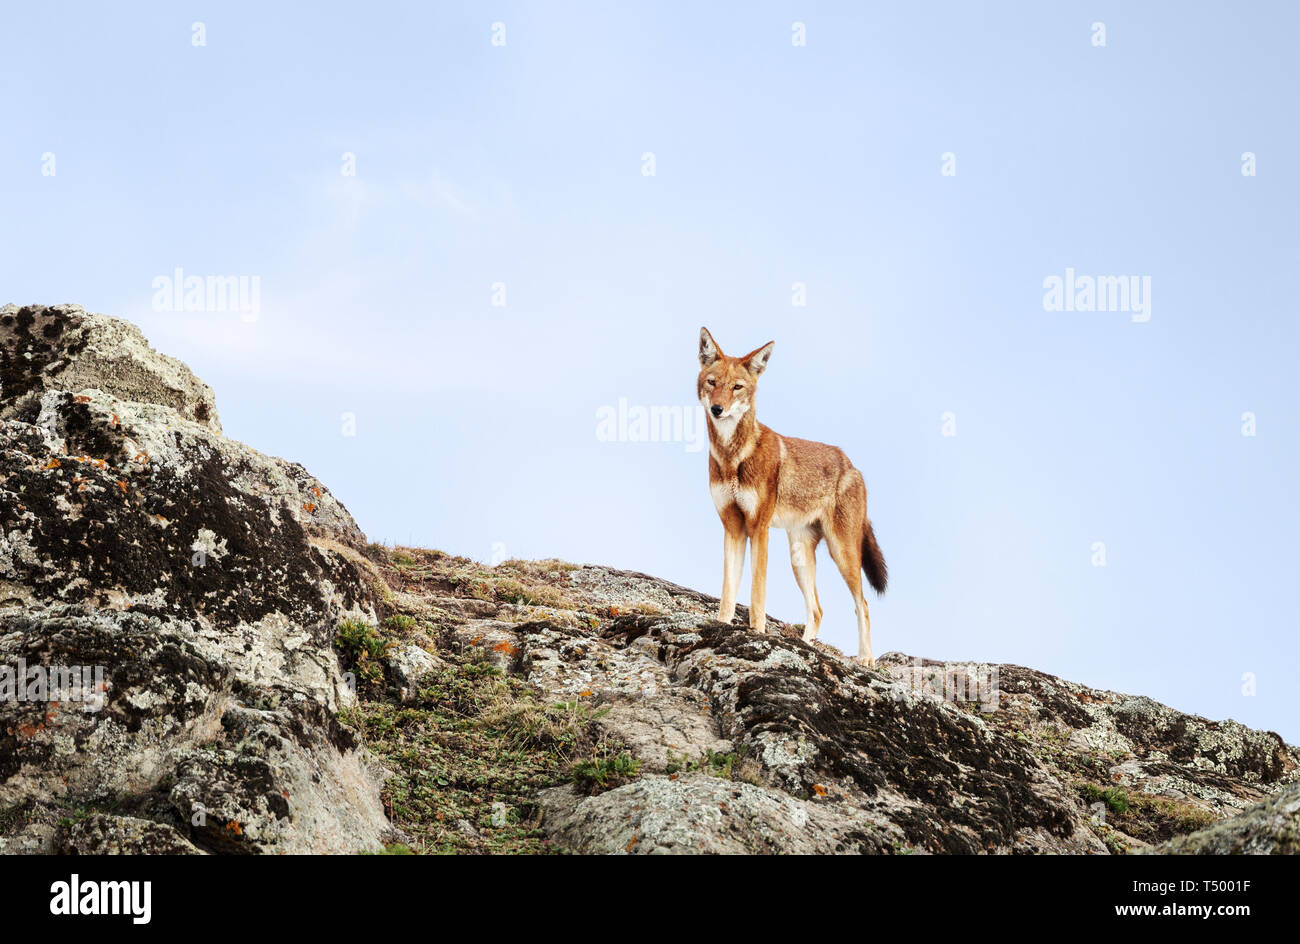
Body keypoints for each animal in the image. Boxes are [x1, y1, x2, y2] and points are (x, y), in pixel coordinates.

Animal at [697, 327, 887, 665]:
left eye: (737, 387)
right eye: (712, 383)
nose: (717, 409)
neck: (732, 457)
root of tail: (852, 464)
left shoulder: (758, 529)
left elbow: (757, 593)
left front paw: (756, 633)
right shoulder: (733, 528)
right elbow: (728, 591)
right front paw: (721, 625)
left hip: (842, 552)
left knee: (862, 604)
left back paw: (866, 658)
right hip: (799, 556)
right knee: (818, 610)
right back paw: (807, 646)